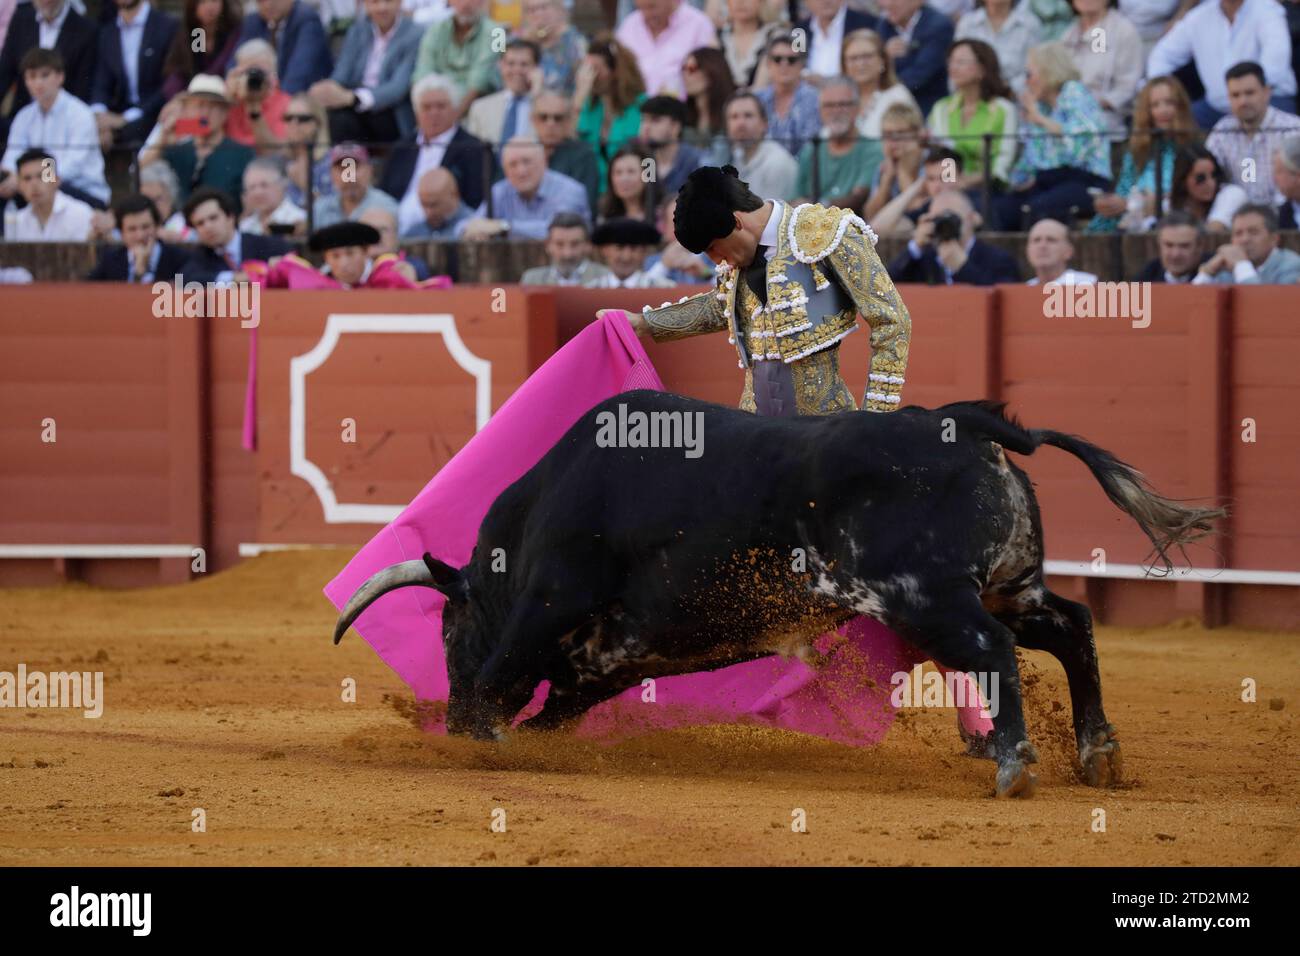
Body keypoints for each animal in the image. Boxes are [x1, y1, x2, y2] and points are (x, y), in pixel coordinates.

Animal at [334, 392, 1224, 798]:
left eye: (448, 632)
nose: (445, 714)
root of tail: (965, 423)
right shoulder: (612, 660)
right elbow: (551, 709)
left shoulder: (548, 605)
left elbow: (501, 679)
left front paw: (477, 742)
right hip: (1010, 584)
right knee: (1070, 626)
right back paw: (1098, 754)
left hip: (928, 598)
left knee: (993, 650)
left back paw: (1014, 766)